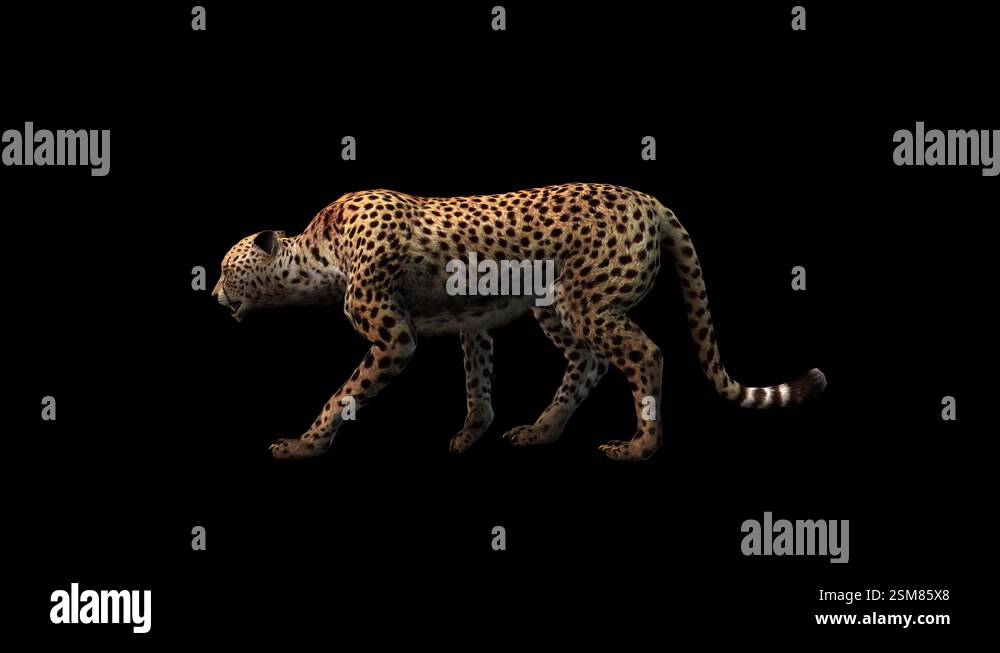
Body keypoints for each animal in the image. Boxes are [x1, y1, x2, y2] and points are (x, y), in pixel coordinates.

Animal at [212, 183, 826, 462]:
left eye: (223, 267)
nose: (213, 292)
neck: (319, 253)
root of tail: (647, 198)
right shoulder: (470, 319)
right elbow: (477, 379)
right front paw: (471, 432)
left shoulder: (394, 338)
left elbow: (342, 393)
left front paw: (304, 444)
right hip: (554, 305)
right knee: (588, 364)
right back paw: (542, 430)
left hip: (587, 304)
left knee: (643, 354)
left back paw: (638, 447)